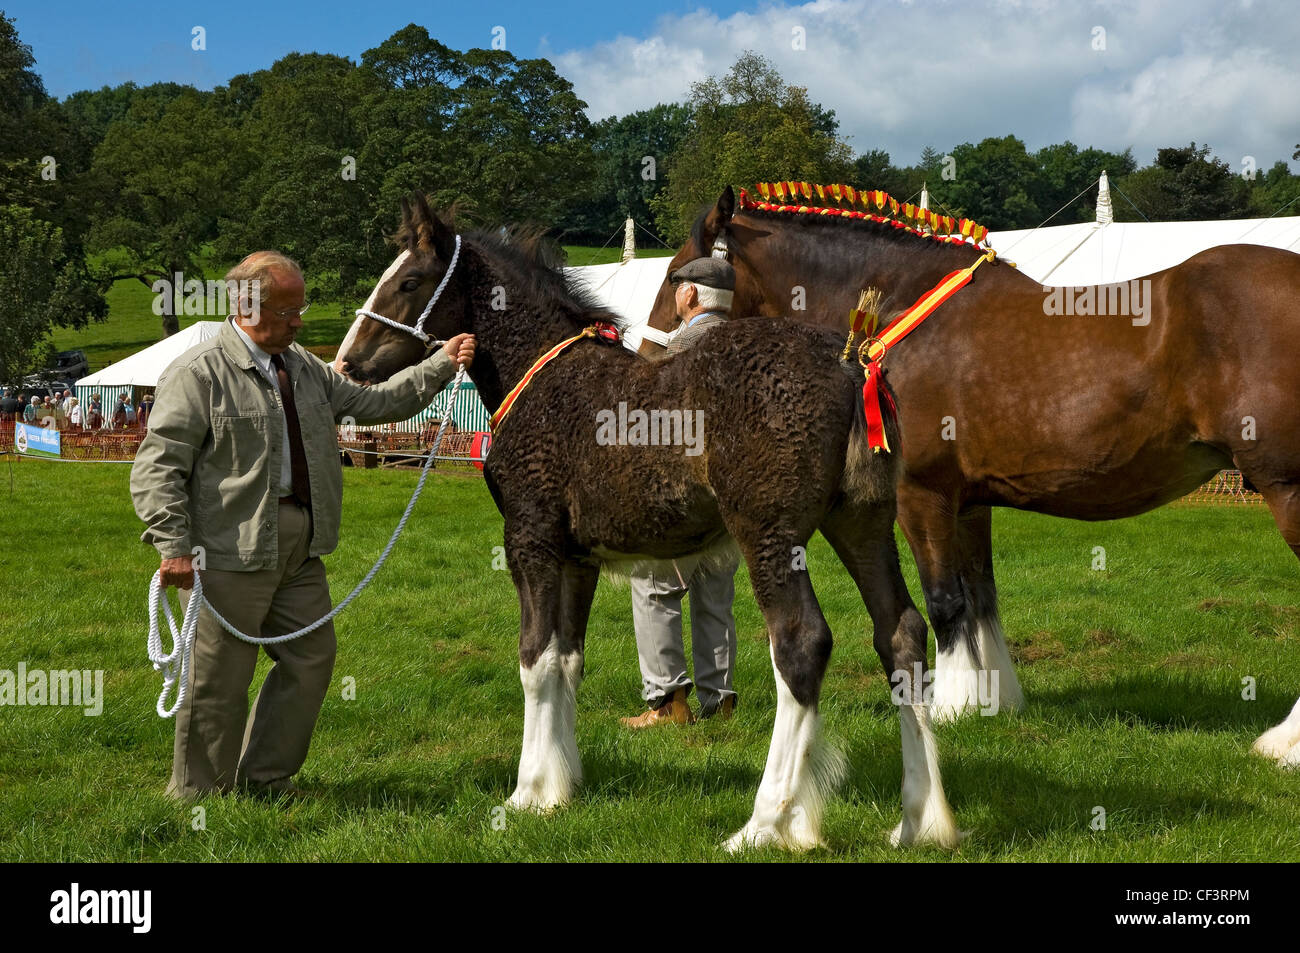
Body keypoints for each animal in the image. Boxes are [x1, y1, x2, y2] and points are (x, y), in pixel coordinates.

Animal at [334, 193, 961, 850]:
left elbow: (534, 658)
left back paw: (766, 823)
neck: (544, 378)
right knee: (901, 633)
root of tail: (851, 364)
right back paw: (920, 819)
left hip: (770, 533)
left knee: (800, 643)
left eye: (409, 281)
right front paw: (562, 786)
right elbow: (567, 660)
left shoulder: (530, 540)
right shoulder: (577, 558)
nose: (347, 361)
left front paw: (526, 792)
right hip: (861, 523)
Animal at [640, 183, 1300, 765]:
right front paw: (995, 700)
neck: (904, 310)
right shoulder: (971, 502)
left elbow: (944, 601)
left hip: (1287, 489)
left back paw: (1283, 745)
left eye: (675, 277)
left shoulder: (921, 494)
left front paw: (951, 706)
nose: (646, 366)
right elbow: (983, 596)